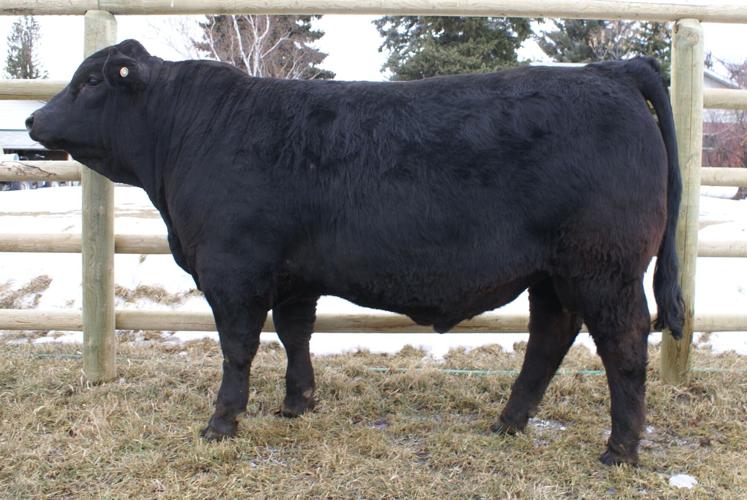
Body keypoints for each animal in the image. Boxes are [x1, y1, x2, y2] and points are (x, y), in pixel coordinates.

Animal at [27, 39, 684, 466]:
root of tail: (613, 69)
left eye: (90, 82)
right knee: (550, 338)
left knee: (623, 348)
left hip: (604, 268)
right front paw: (297, 404)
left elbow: (238, 349)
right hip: (554, 272)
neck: (189, 135)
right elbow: (294, 334)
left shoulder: (232, 271)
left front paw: (221, 422)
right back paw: (508, 423)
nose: (32, 119)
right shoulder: (293, 276)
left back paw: (620, 450)